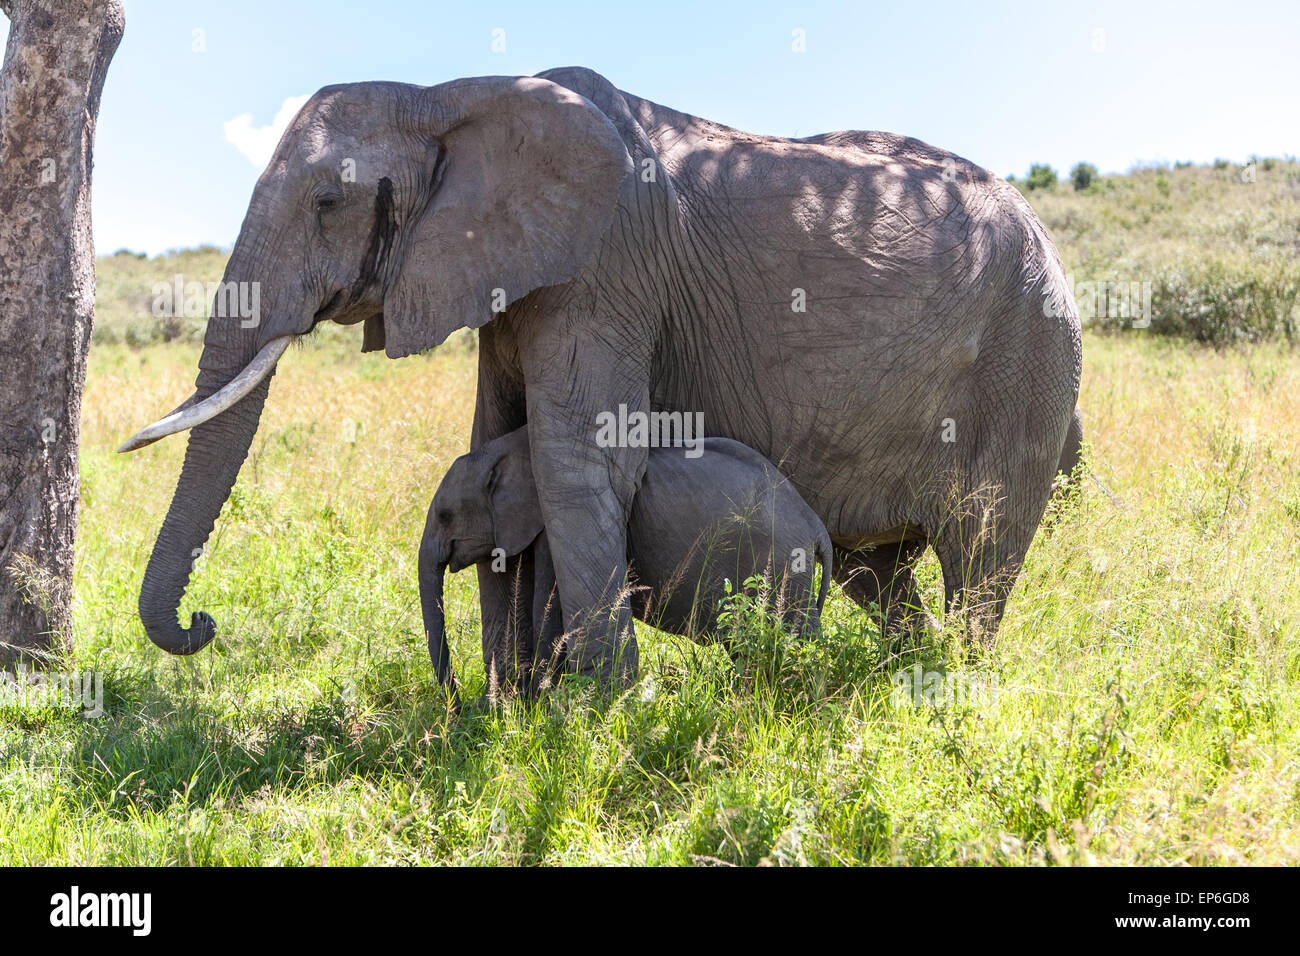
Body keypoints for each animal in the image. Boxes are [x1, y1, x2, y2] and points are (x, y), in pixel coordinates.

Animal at [419, 427, 833, 695]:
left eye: (445, 515)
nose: (458, 705)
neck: (501, 452)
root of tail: (817, 527)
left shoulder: (551, 521)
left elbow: (547, 605)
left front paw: (540, 703)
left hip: (782, 569)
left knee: (794, 639)